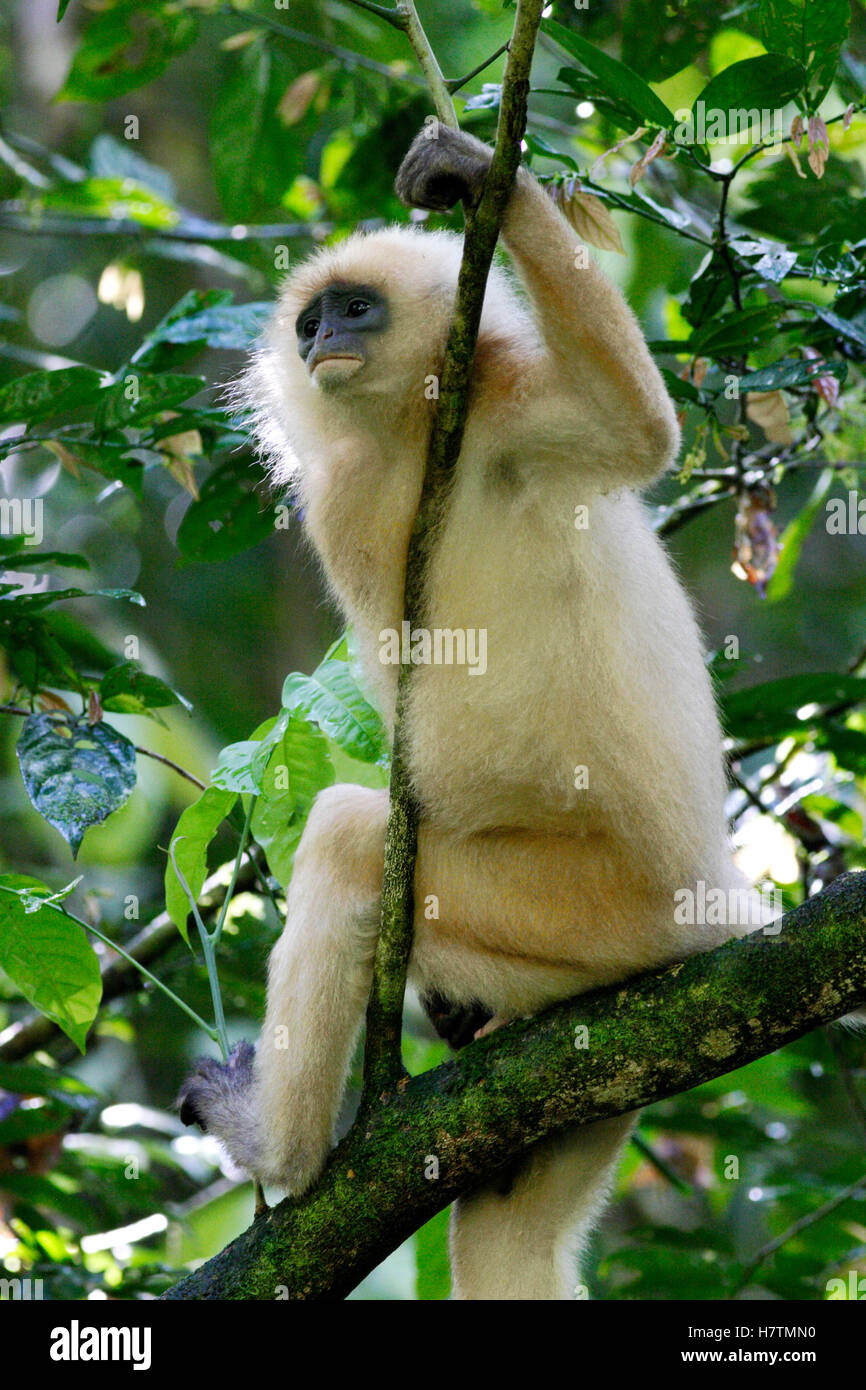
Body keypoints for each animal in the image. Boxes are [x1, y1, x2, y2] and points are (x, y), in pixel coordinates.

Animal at [179, 123, 765, 1300]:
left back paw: (281, 1151)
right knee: (512, 1246)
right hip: (585, 1018)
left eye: (354, 308)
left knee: (349, 839)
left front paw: (472, 172)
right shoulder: (356, 494)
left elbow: (638, 434)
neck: (415, 433)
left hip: (584, 905)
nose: (322, 338)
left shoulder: (495, 403)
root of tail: (717, 900)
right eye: (311, 320)